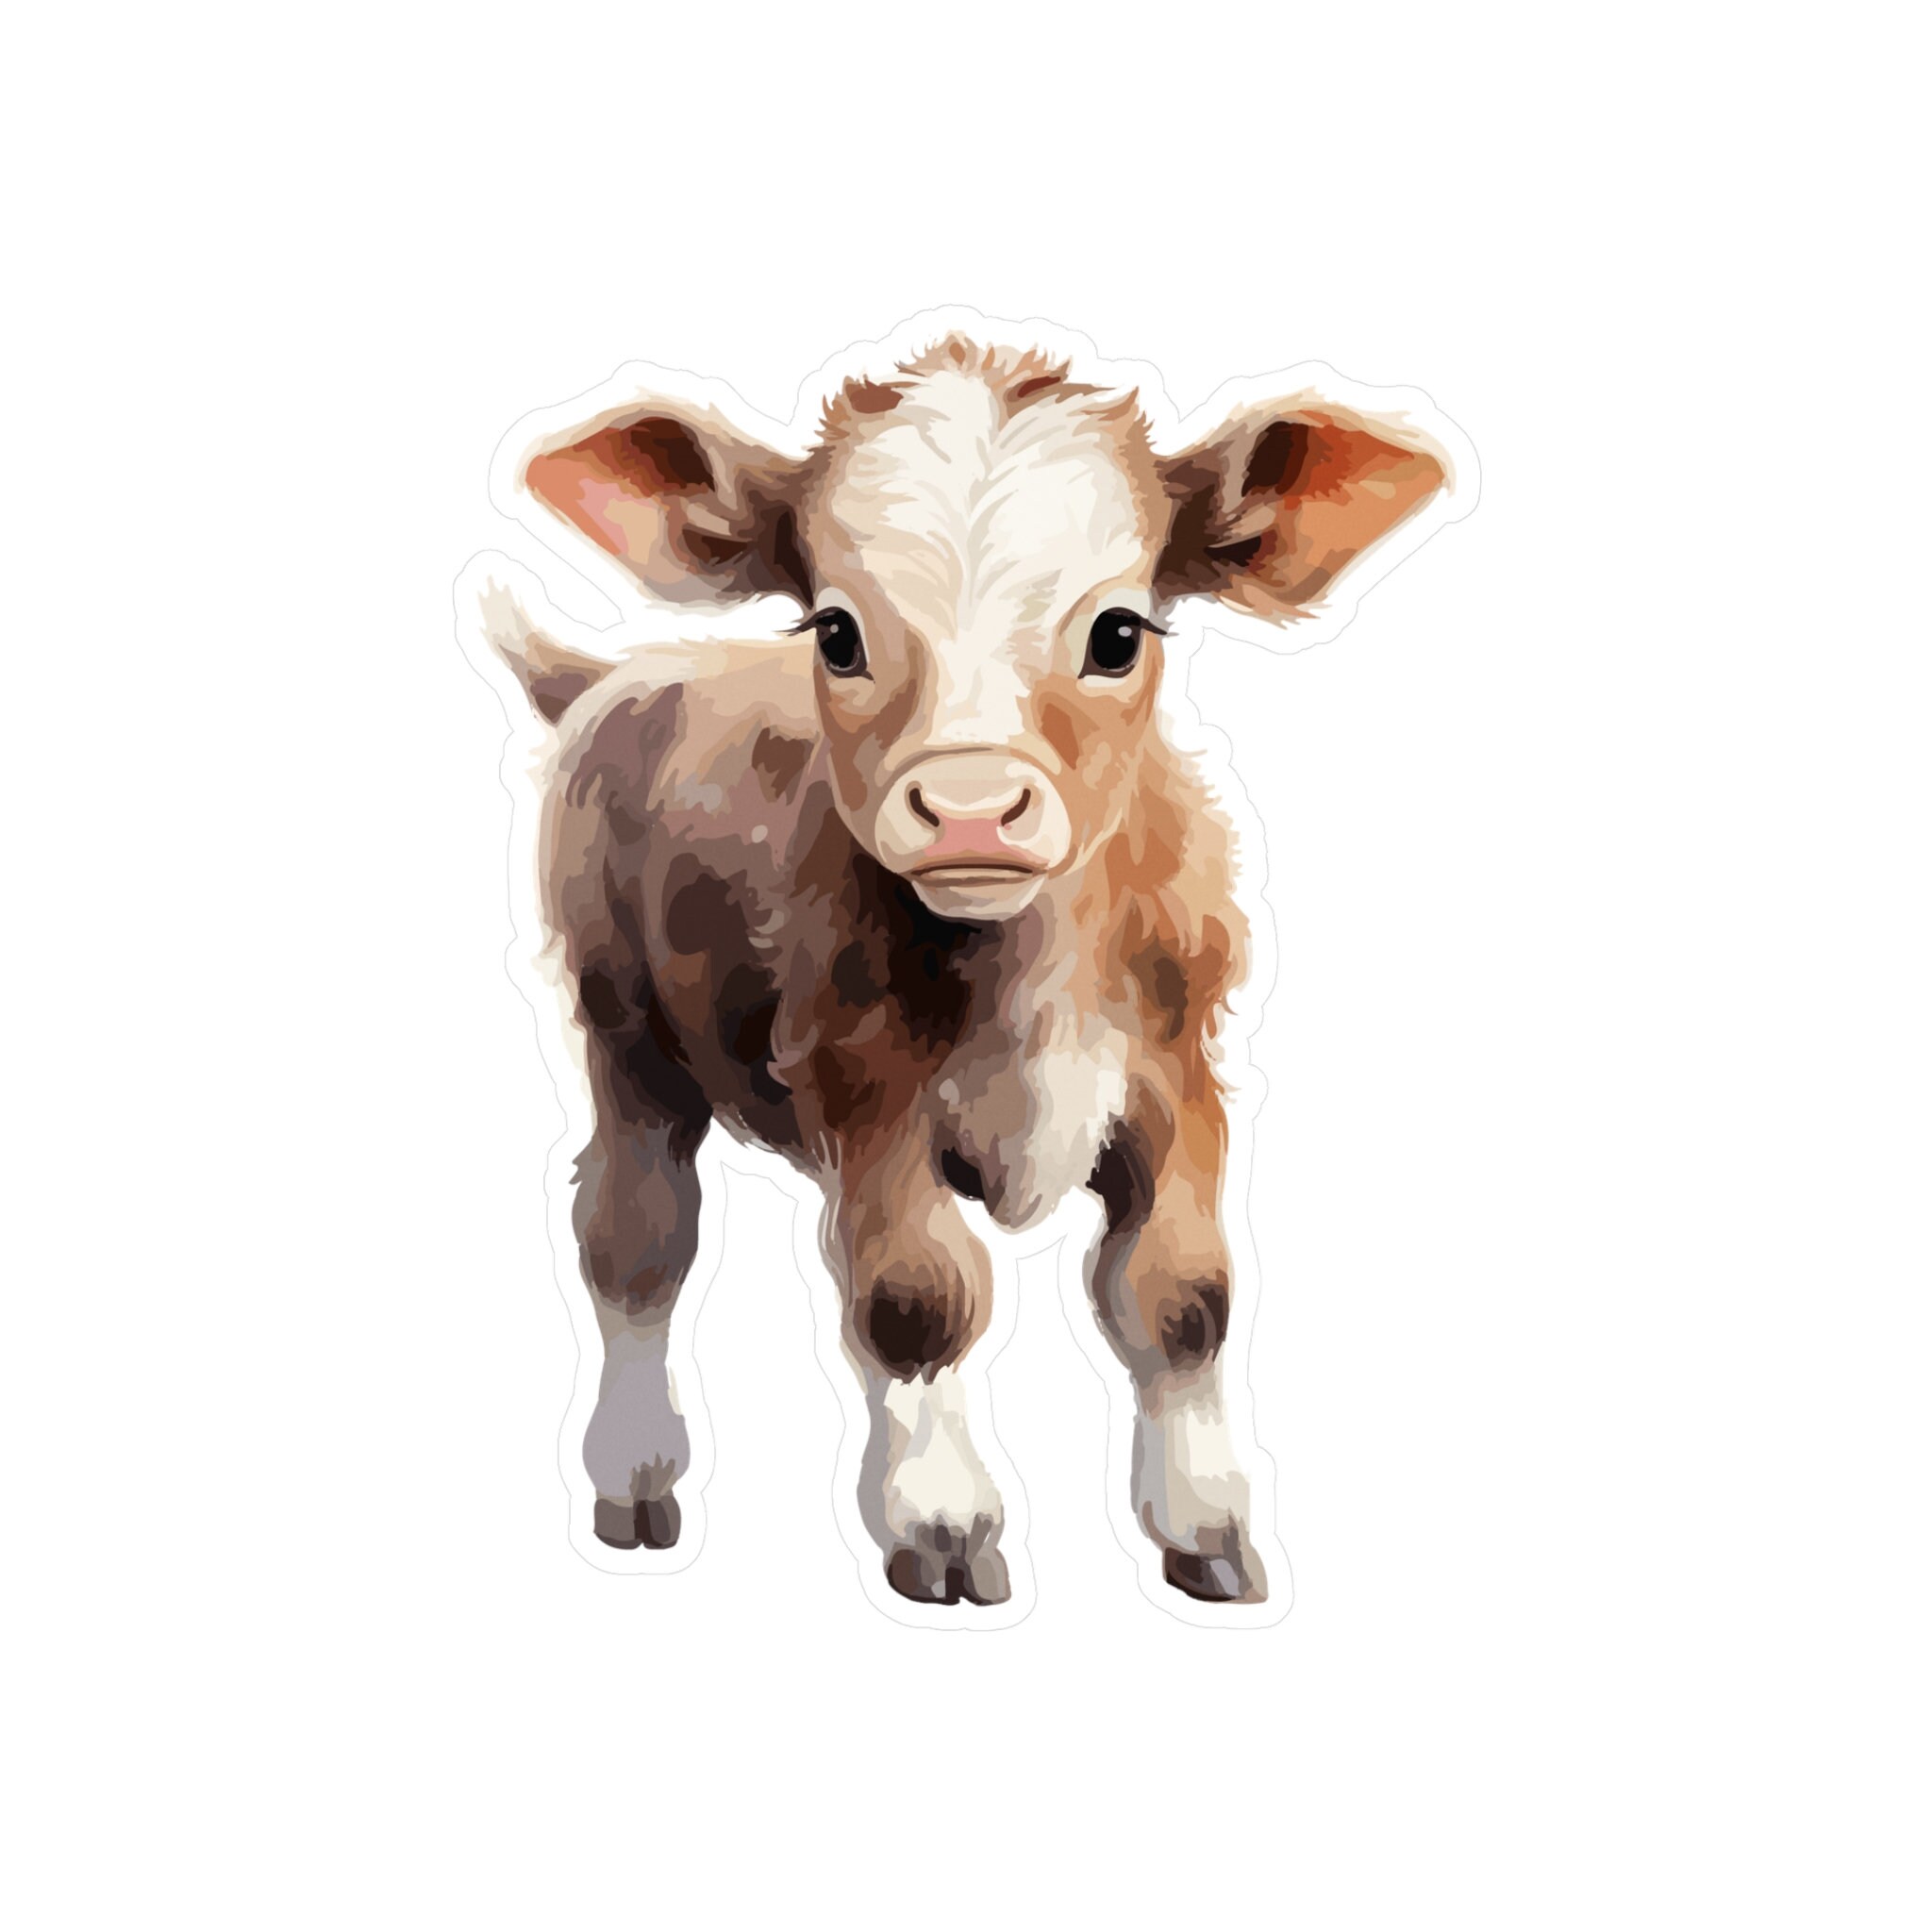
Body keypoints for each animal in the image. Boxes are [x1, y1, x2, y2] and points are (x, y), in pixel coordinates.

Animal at [479, 332, 1455, 1609]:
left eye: (1118, 632)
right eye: (835, 632)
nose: (971, 806)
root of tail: (615, 671)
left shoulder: (1179, 1078)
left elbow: (1183, 1295)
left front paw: (1204, 1523)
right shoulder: (866, 1098)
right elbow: (915, 1297)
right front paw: (940, 1520)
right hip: (625, 1034)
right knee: (635, 1234)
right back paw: (635, 1475)